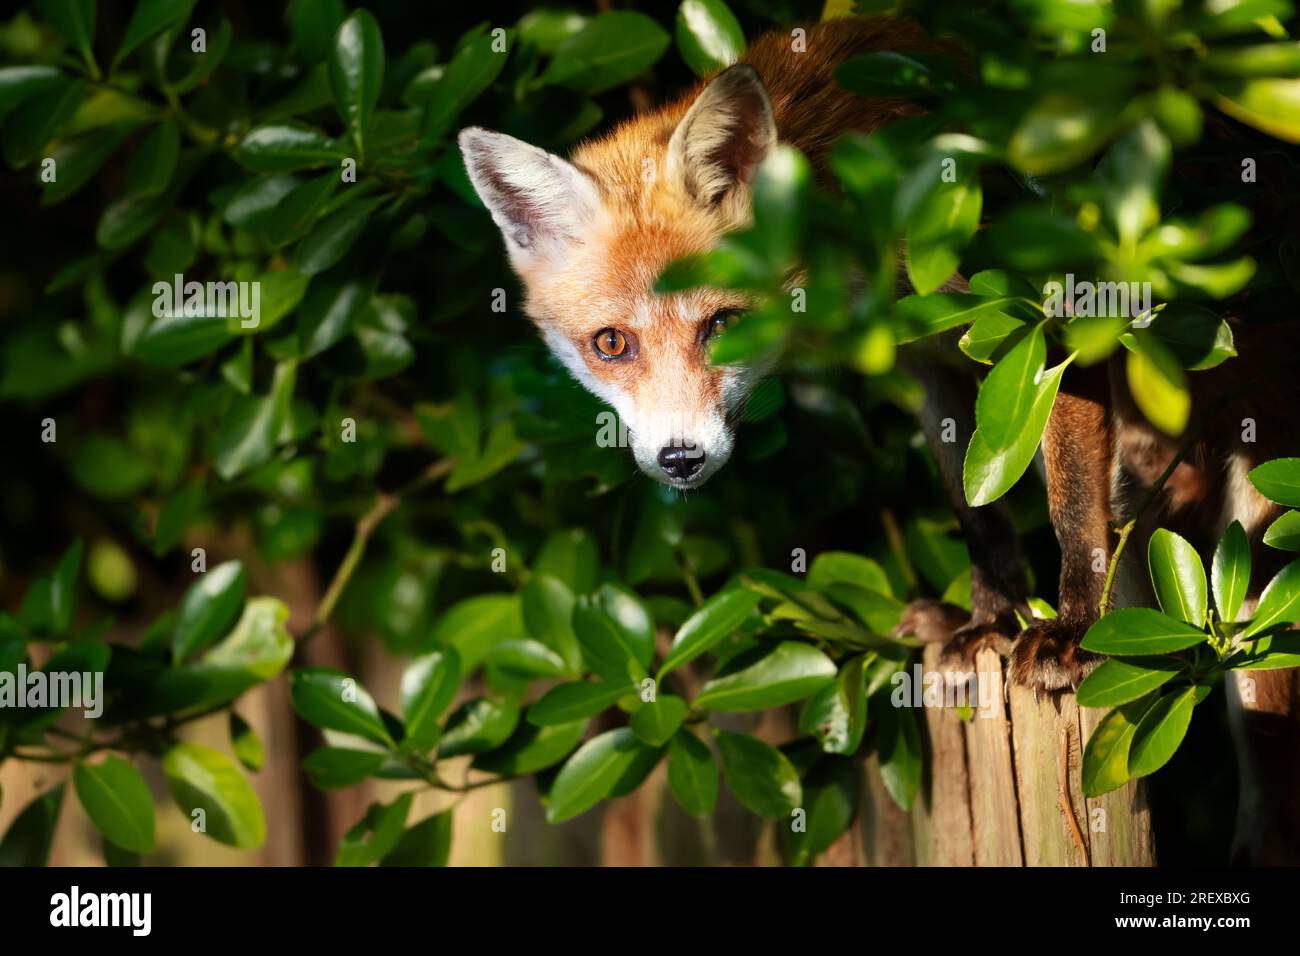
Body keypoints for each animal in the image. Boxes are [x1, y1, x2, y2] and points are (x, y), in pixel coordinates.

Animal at [459, 16, 1300, 861]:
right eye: (610, 344)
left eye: (723, 324)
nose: (681, 458)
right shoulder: (930, 365)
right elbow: (976, 508)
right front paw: (988, 623)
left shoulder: (1054, 316)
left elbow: (1067, 510)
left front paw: (1068, 631)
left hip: (1257, 585)